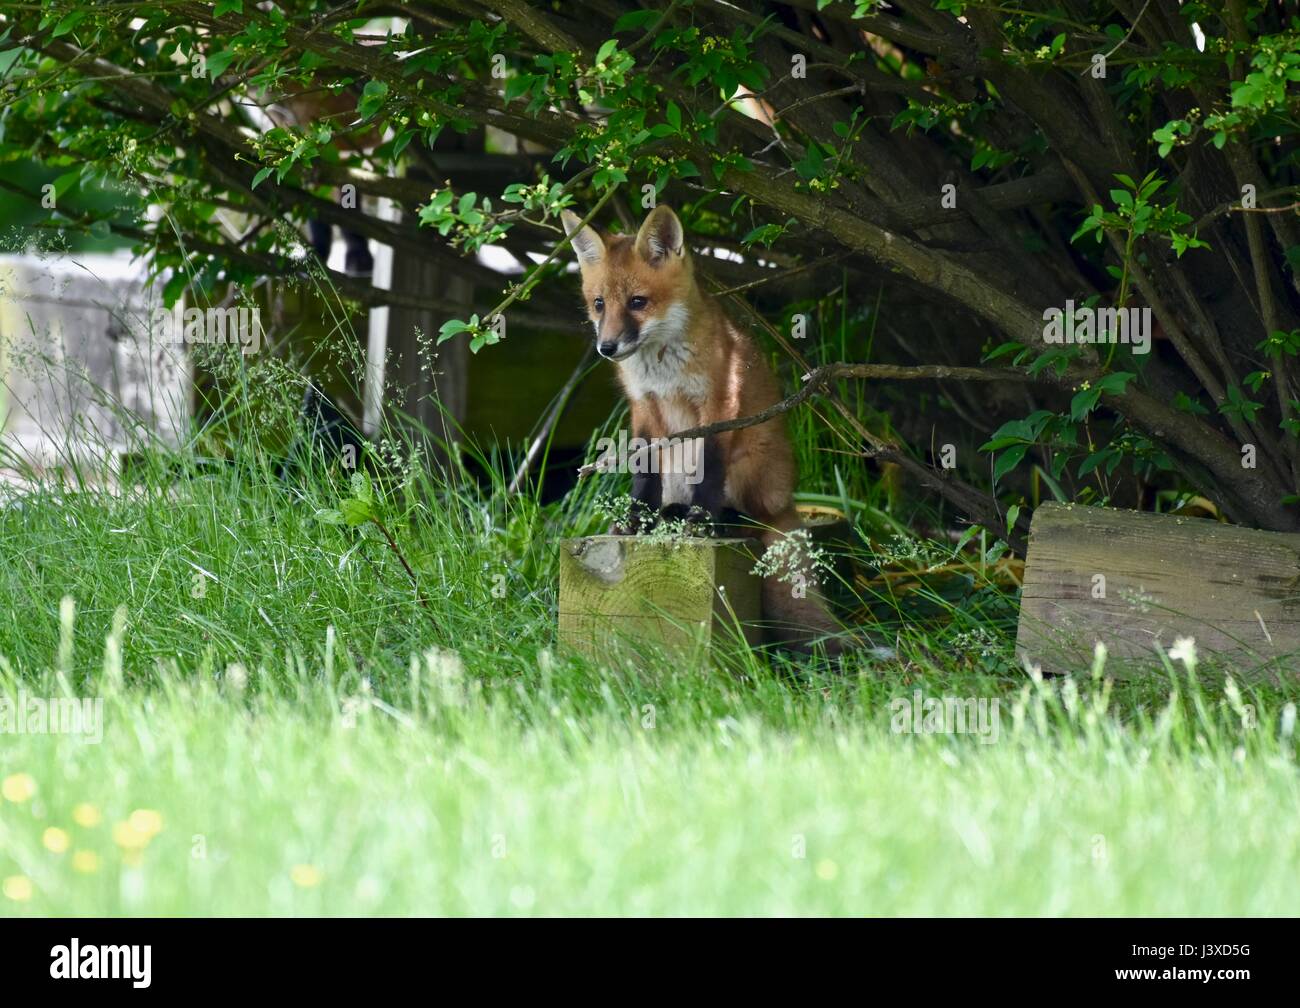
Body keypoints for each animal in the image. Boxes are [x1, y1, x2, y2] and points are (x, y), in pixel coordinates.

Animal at [561, 204, 845, 654]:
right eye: (599, 304)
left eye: (638, 302)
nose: (607, 348)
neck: (664, 371)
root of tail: (788, 504)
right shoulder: (644, 407)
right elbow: (643, 472)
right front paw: (637, 520)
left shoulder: (719, 403)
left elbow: (711, 466)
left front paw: (703, 519)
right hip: (678, 463)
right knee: (675, 498)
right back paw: (669, 514)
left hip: (752, 465)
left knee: (756, 520)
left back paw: (720, 519)